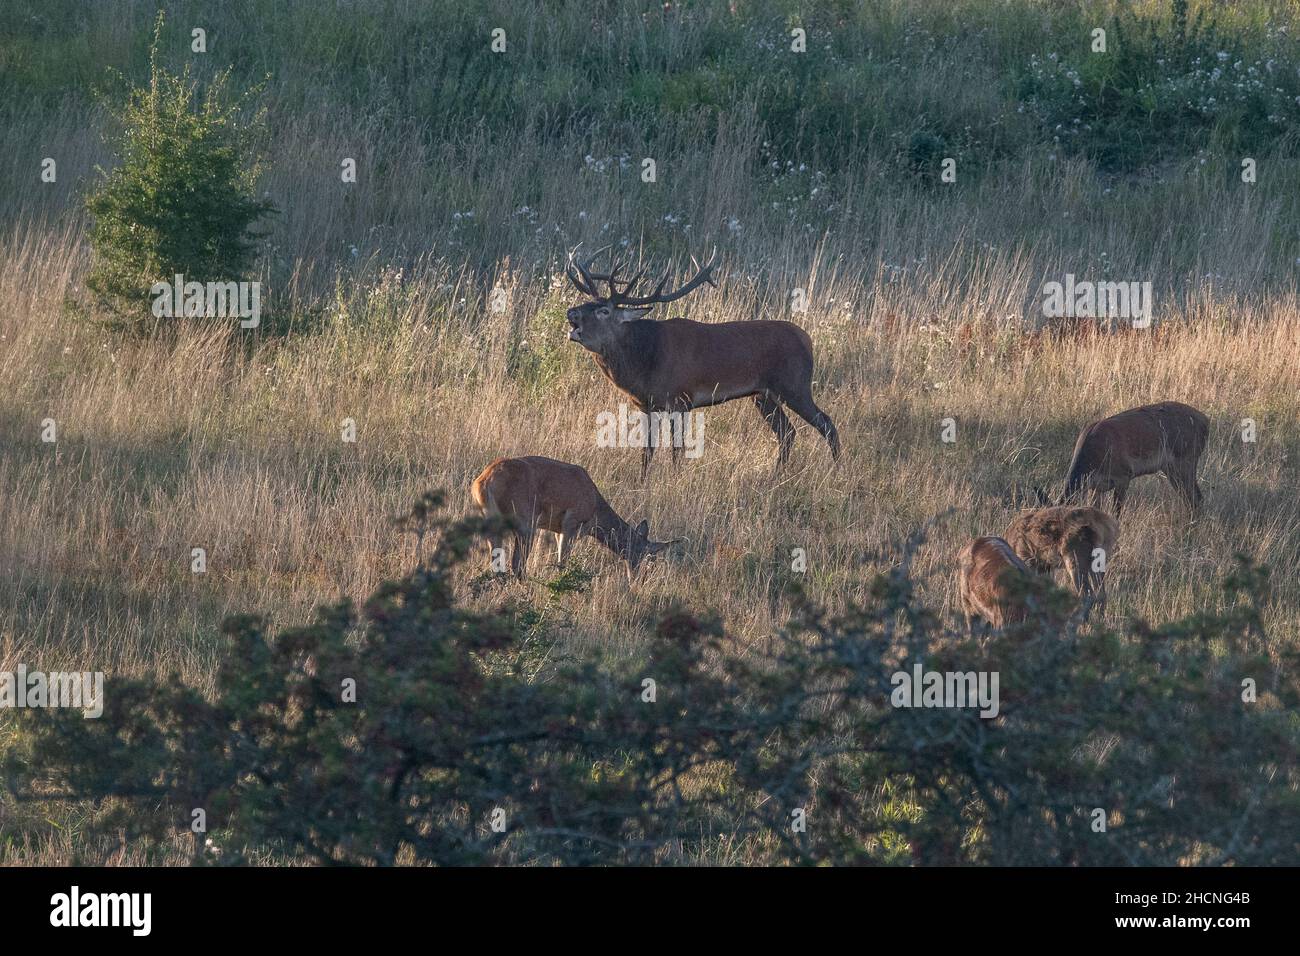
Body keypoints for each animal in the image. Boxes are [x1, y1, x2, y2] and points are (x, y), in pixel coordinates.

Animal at [469, 456, 677, 581]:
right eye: (646, 555)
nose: (638, 579)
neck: (594, 506)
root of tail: (482, 483)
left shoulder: (556, 529)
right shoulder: (571, 524)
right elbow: (562, 562)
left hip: (492, 525)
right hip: (525, 525)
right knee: (517, 564)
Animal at [564, 248, 840, 478]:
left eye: (604, 311)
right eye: (586, 303)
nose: (571, 312)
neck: (646, 362)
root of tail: (807, 339)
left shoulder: (681, 399)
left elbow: (677, 449)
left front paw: (674, 481)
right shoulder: (646, 406)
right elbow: (647, 451)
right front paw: (643, 482)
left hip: (794, 385)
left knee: (827, 424)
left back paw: (836, 471)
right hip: (763, 395)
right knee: (787, 432)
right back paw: (776, 476)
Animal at [1041, 401, 1209, 518]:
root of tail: (1205, 421)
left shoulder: (1123, 478)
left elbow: (1116, 514)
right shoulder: (1096, 487)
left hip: (1185, 464)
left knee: (1197, 498)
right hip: (1171, 469)